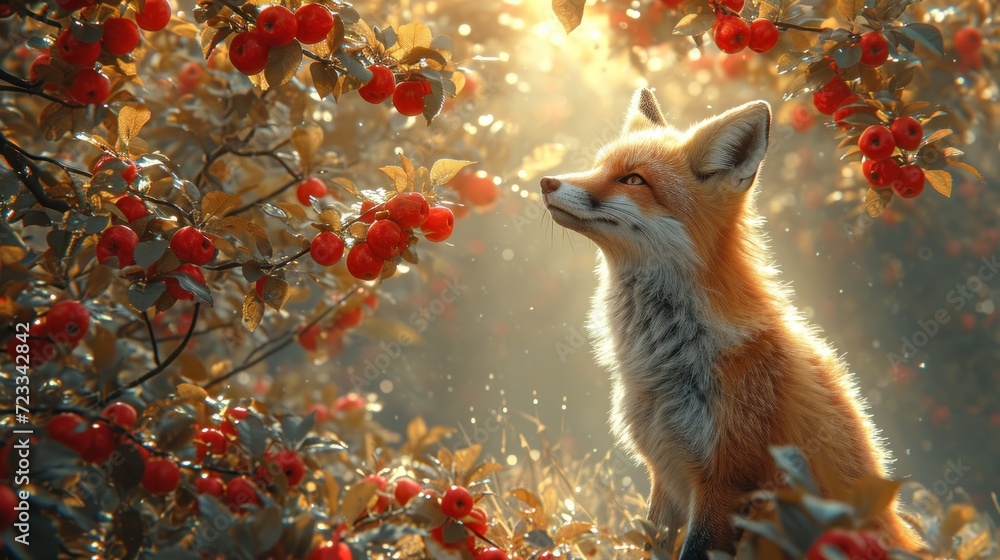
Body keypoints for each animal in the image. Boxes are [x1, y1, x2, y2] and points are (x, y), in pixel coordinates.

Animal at [539, 89, 922, 559]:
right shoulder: (664, 474)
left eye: (632, 180)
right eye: (598, 167)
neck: (669, 358)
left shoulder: (725, 483)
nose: (546, 182)